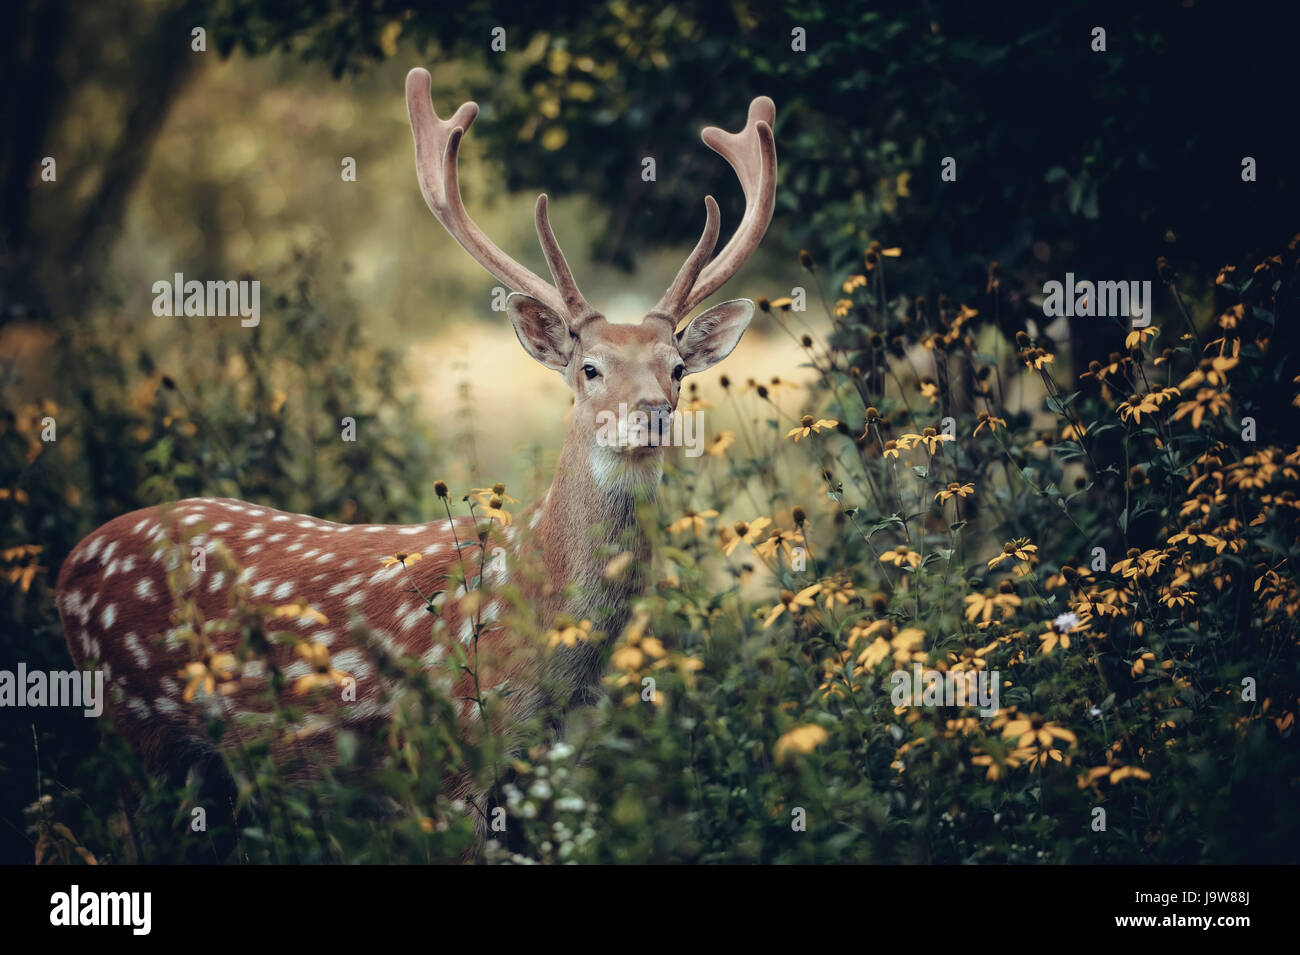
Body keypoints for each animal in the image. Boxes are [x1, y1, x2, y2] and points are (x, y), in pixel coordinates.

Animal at [55, 67, 777, 834]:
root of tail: (69, 564)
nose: (654, 415)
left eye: (678, 367)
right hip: (136, 726)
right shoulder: (451, 759)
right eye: (590, 368)